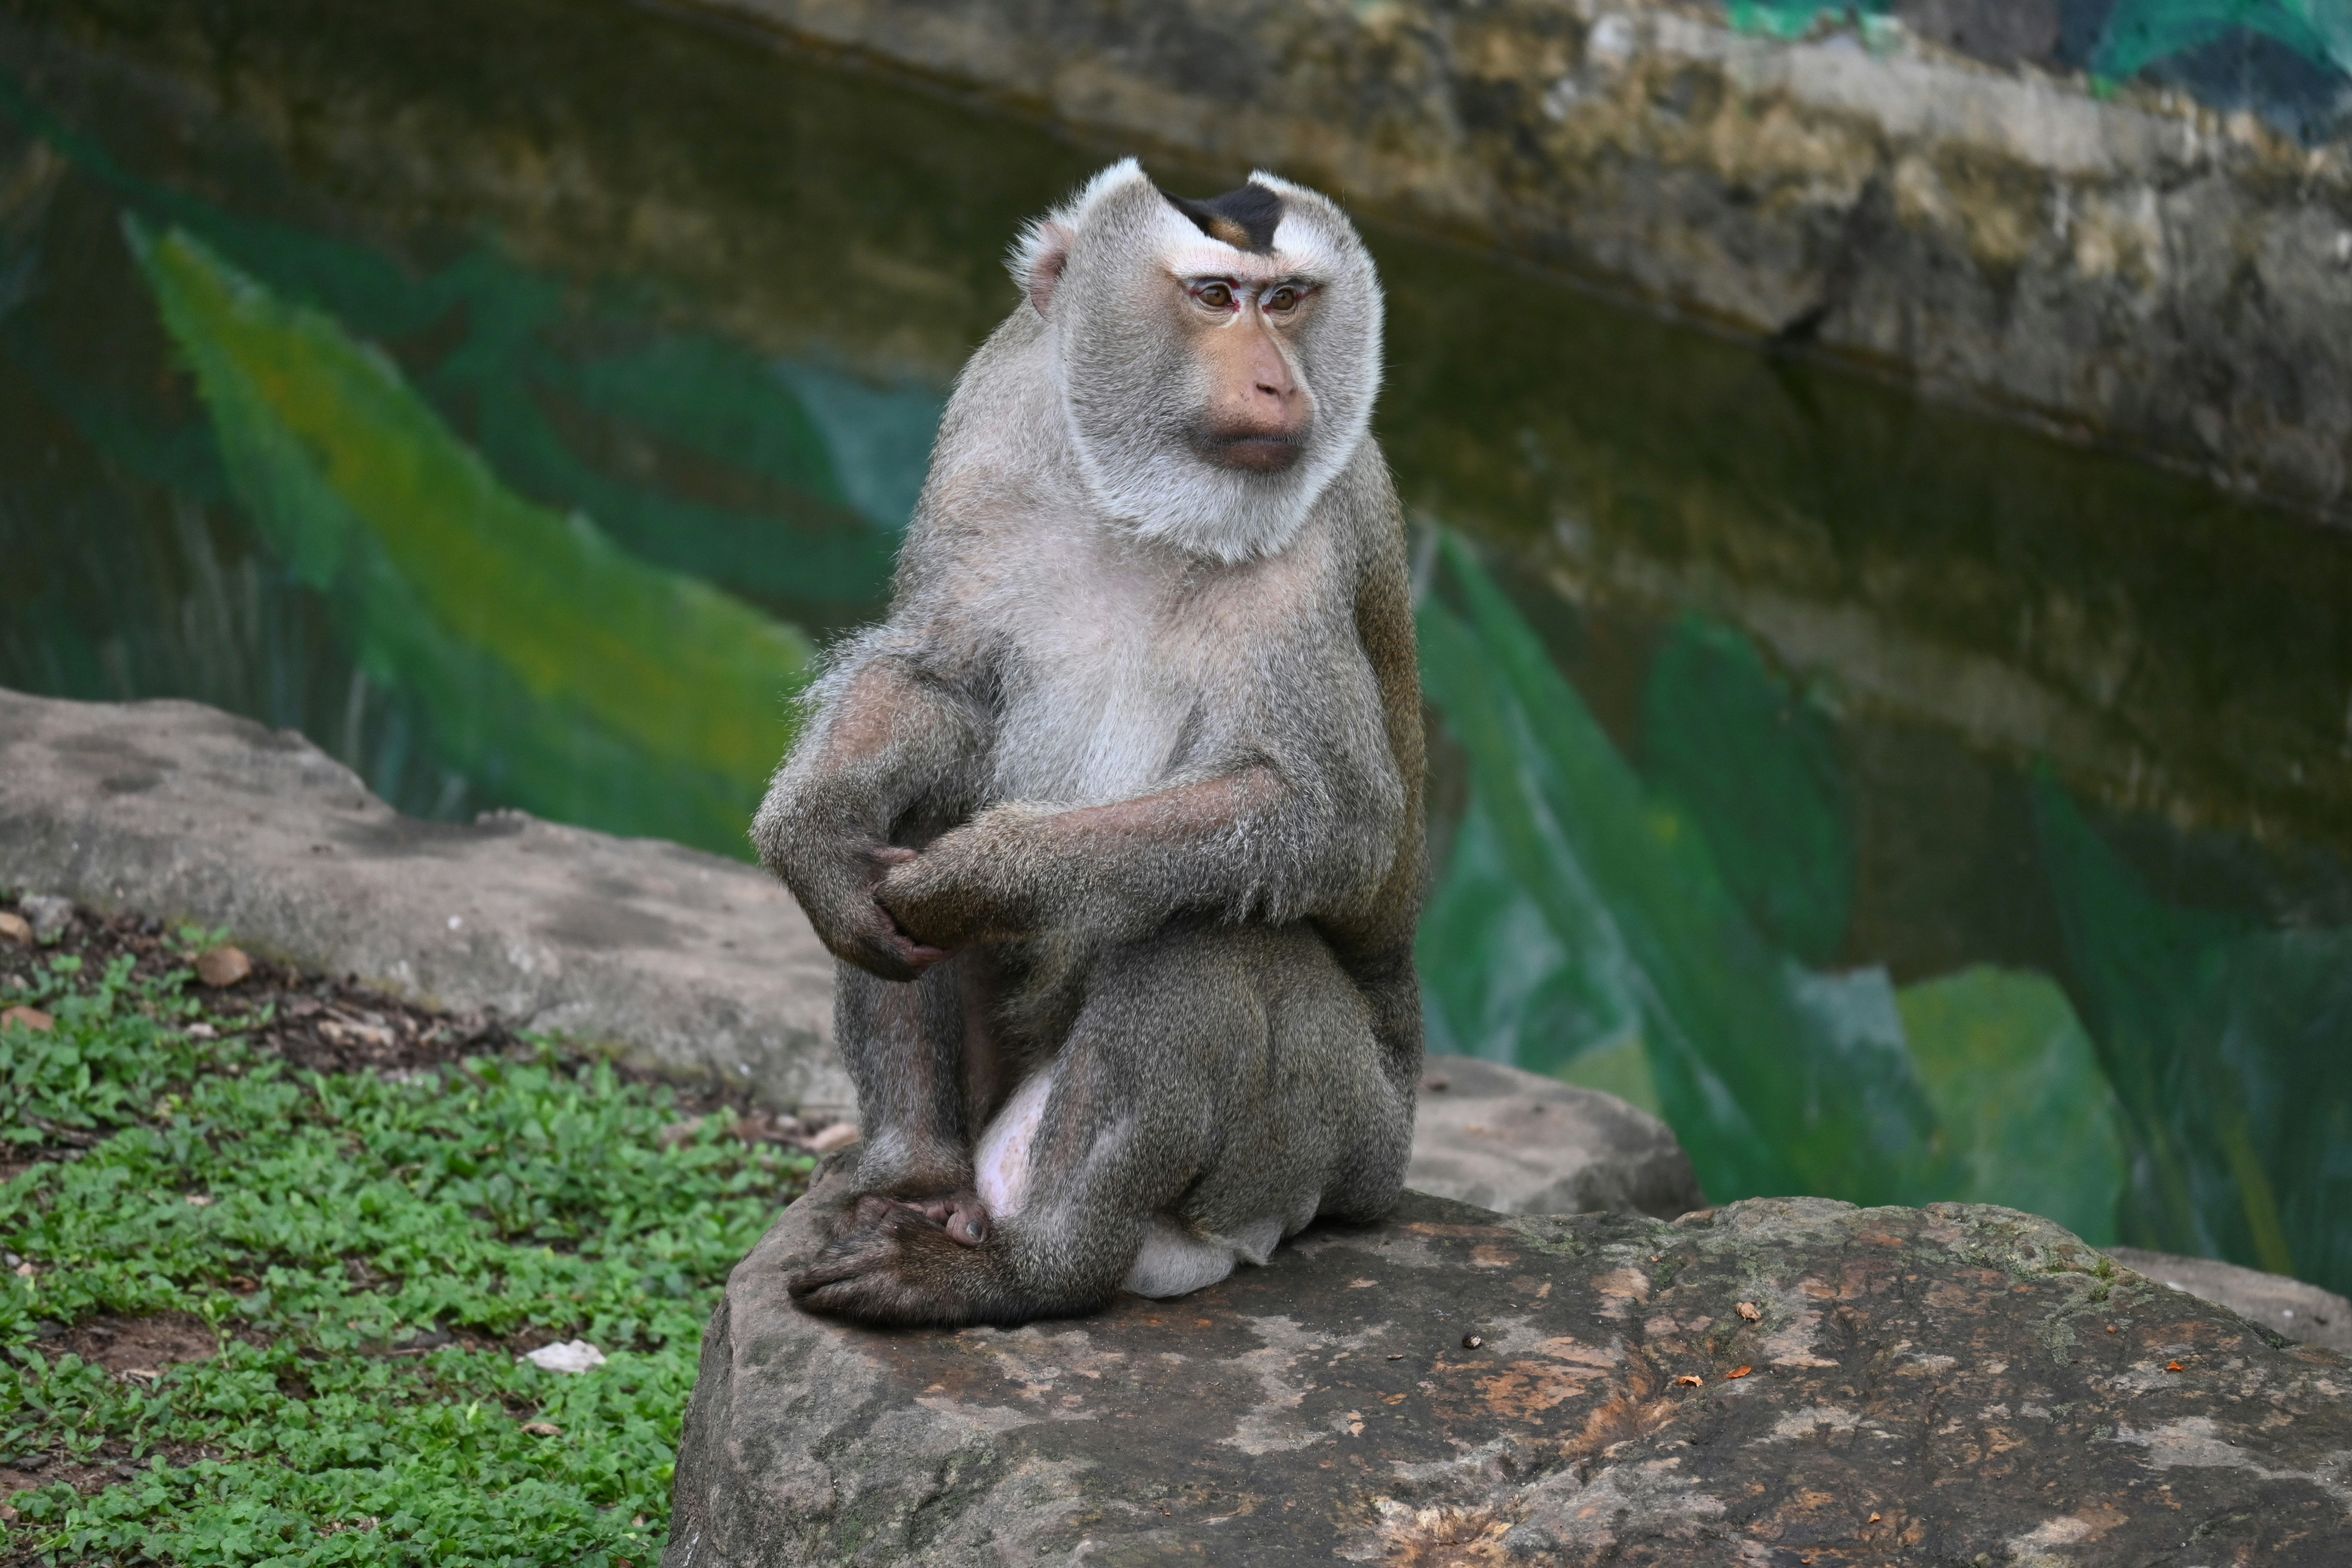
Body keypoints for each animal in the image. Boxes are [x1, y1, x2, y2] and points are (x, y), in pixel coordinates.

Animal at [750, 158, 1424, 1328]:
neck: (1140, 508)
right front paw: (814, 829)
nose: (1277, 387)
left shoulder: (1316, 524)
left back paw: (1035, 1268)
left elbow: (1321, 813)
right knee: (914, 798)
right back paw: (913, 1174)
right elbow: (937, 680)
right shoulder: (993, 413)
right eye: (1216, 296)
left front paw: (982, 873)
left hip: (1336, 1140)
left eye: (1289, 298)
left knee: (1195, 929)